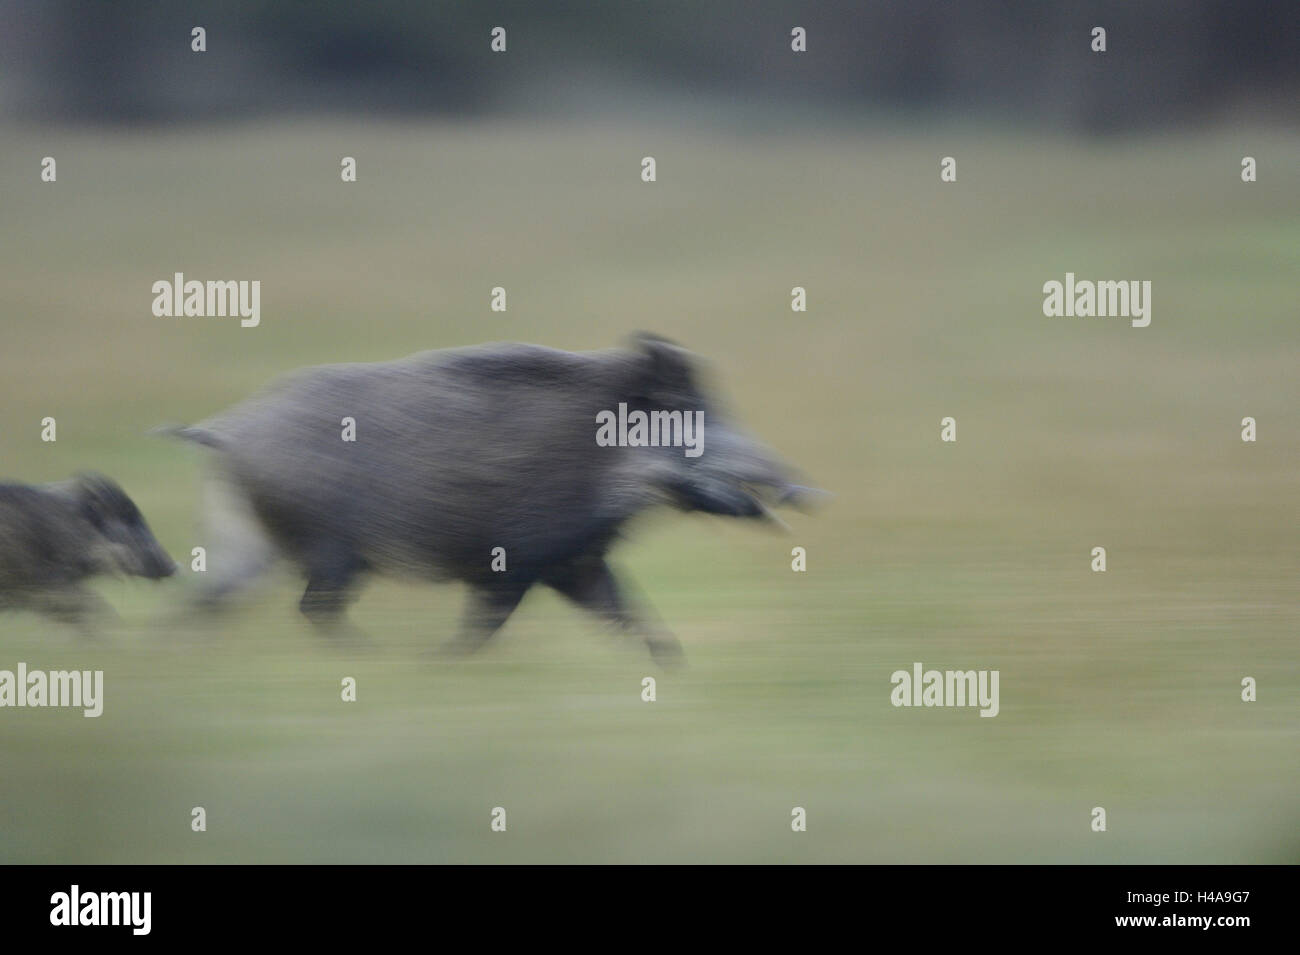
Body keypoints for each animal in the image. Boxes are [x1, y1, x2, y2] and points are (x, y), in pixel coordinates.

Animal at [163, 334, 817, 662]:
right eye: (689, 411)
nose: (810, 491)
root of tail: (226, 431)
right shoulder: (515, 562)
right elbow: (486, 626)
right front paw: (444, 663)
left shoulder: (576, 561)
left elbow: (627, 615)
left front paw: (673, 667)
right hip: (330, 552)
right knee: (311, 610)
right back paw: (378, 658)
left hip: (250, 543)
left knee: (203, 603)